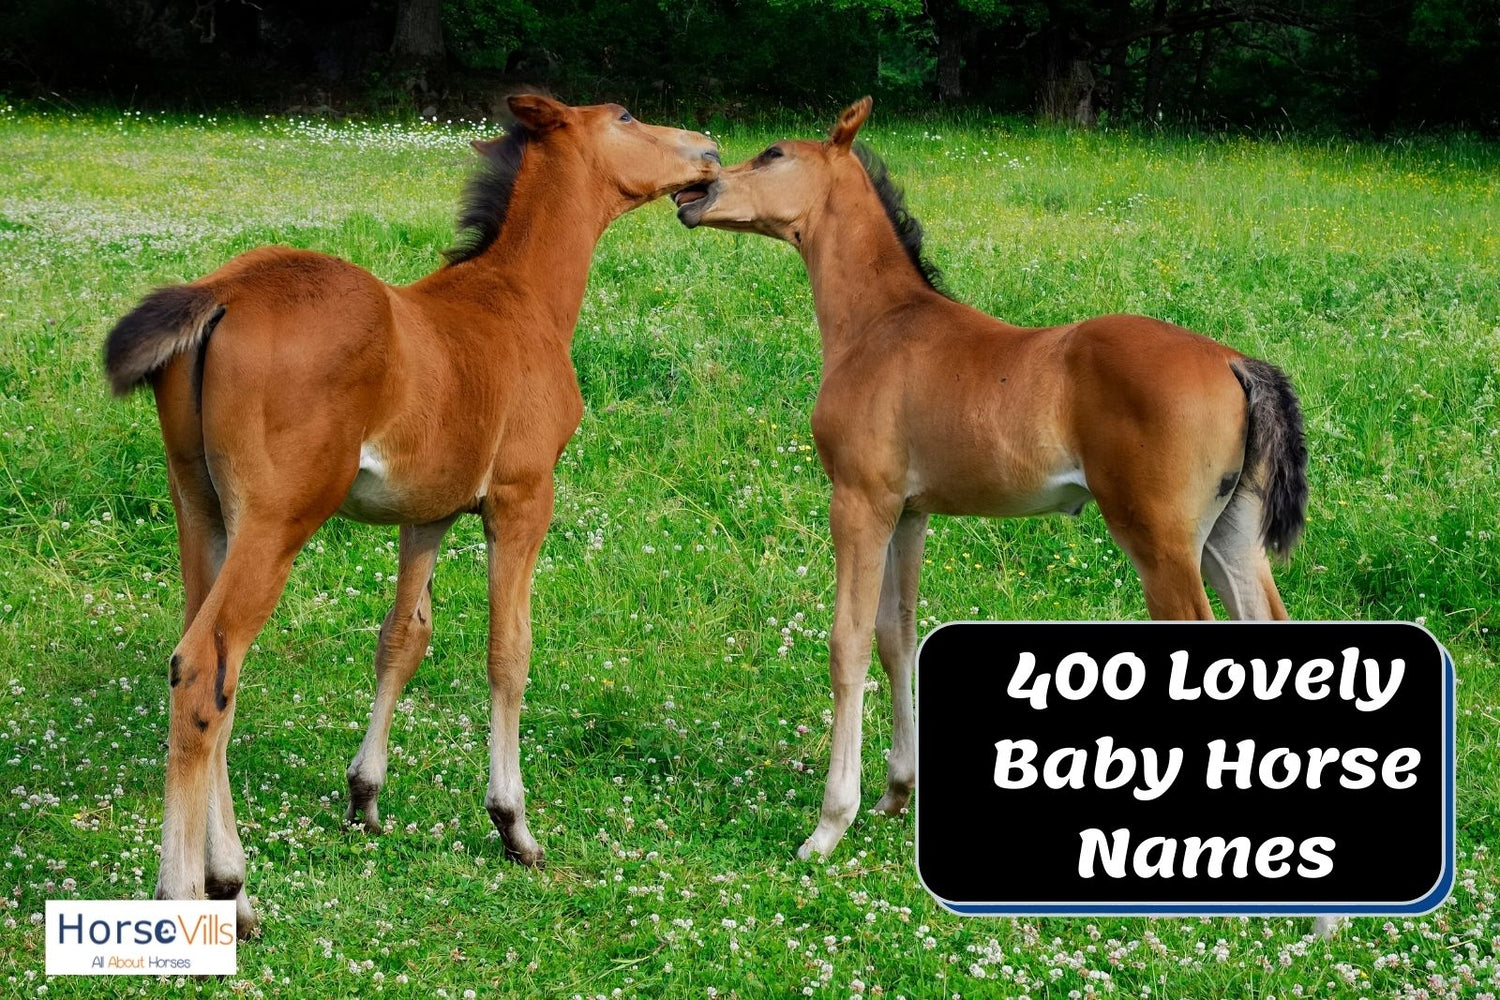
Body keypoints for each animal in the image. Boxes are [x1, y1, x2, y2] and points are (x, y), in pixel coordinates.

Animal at [104, 95, 720, 934]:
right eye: (625, 117)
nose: (708, 152)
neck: (517, 299)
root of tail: (218, 293)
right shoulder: (523, 498)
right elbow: (509, 650)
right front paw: (513, 825)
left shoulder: (426, 514)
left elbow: (403, 639)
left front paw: (364, 797)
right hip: (274, 523)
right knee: (207, 674)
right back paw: (192, 895)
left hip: (200, 512)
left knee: (205, 675)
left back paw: (234, 886)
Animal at [676, 97, 1308, 865]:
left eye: (772, 153)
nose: (693, 191)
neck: (880, 326)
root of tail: (1233, 362)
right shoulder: (908, 511)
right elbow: (896, 635)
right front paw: (896, 793)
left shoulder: (859, 501)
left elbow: (847, 642)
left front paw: (829, 825)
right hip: (1229, 535)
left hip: (1160, 539)